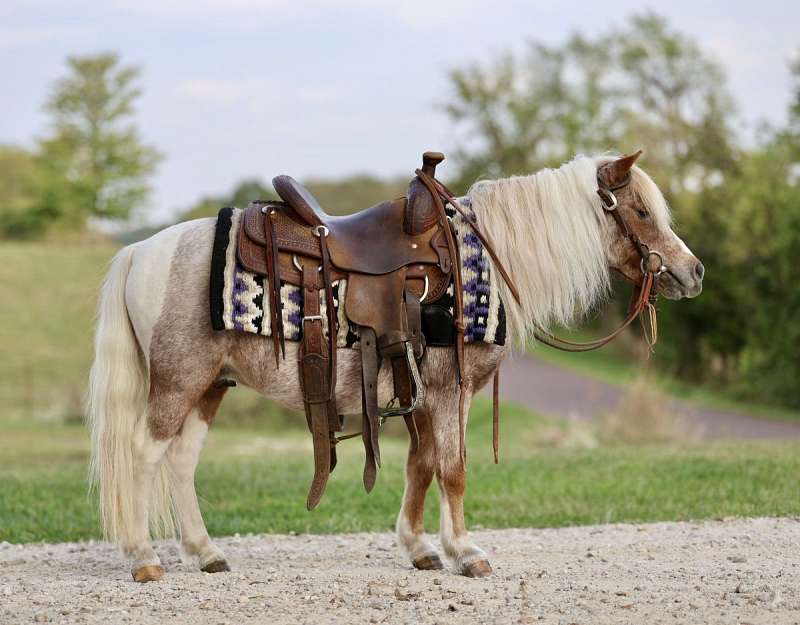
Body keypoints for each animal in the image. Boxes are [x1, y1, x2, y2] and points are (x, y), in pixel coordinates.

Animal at [87, 150, 704, 582]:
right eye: (641, 210)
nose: (693, 272)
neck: (483, 257)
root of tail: (140, 251)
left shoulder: (429, 392)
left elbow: (423, 465)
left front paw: (421, 548)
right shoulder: (451, 390)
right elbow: (453, 469)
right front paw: (466, 553)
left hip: (211, 385)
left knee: (180, 462)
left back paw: (206, 552)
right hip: (178, 384)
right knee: (144, 456)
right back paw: (144, 558)